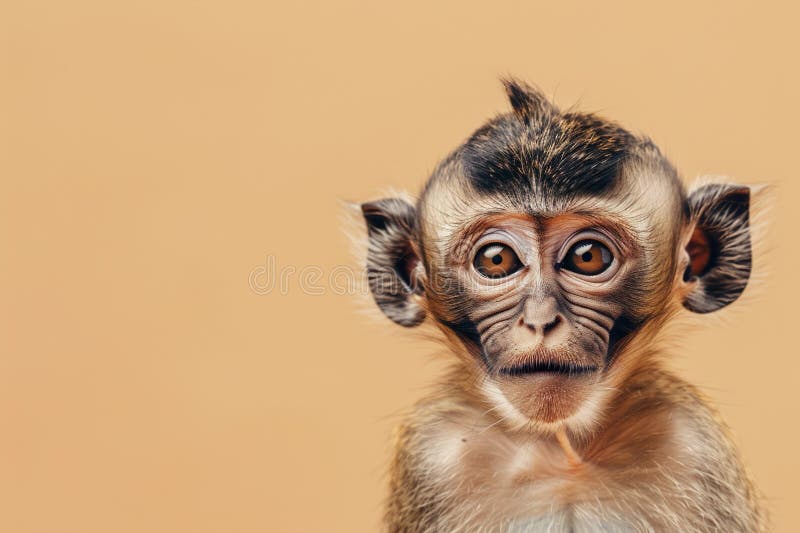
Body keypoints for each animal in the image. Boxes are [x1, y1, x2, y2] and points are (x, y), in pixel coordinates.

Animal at [357, 79, 767, 532]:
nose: (540, 321)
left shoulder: (694, 446)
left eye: (588, 256)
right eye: (496, 260)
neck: (561, 451)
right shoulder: (434, 454)